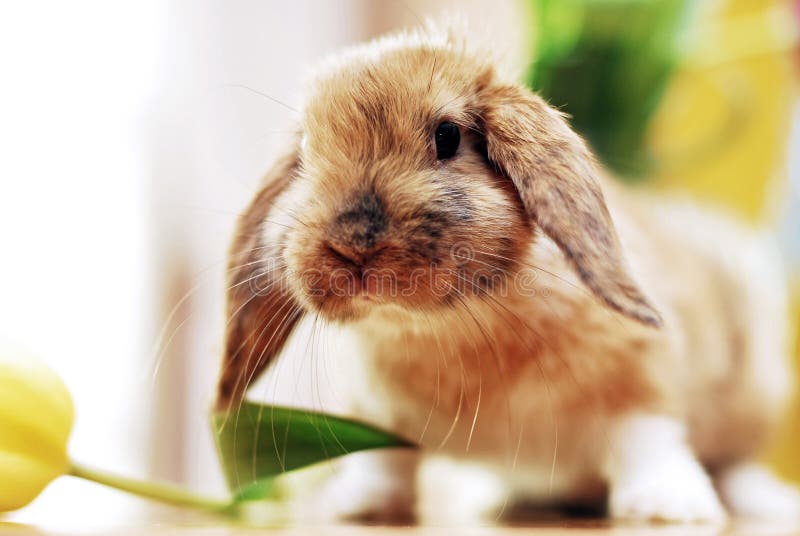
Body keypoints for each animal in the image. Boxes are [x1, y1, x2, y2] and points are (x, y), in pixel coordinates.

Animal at [215, 25, 799, 524]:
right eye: (306, 152)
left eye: (447, 137)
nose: (354, 247)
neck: (450, 328)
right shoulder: (377, 414)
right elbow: (386, 461)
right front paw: (361, 505)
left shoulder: (644, 379)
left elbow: (647, 438)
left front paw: (669, 507)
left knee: (732, 461)